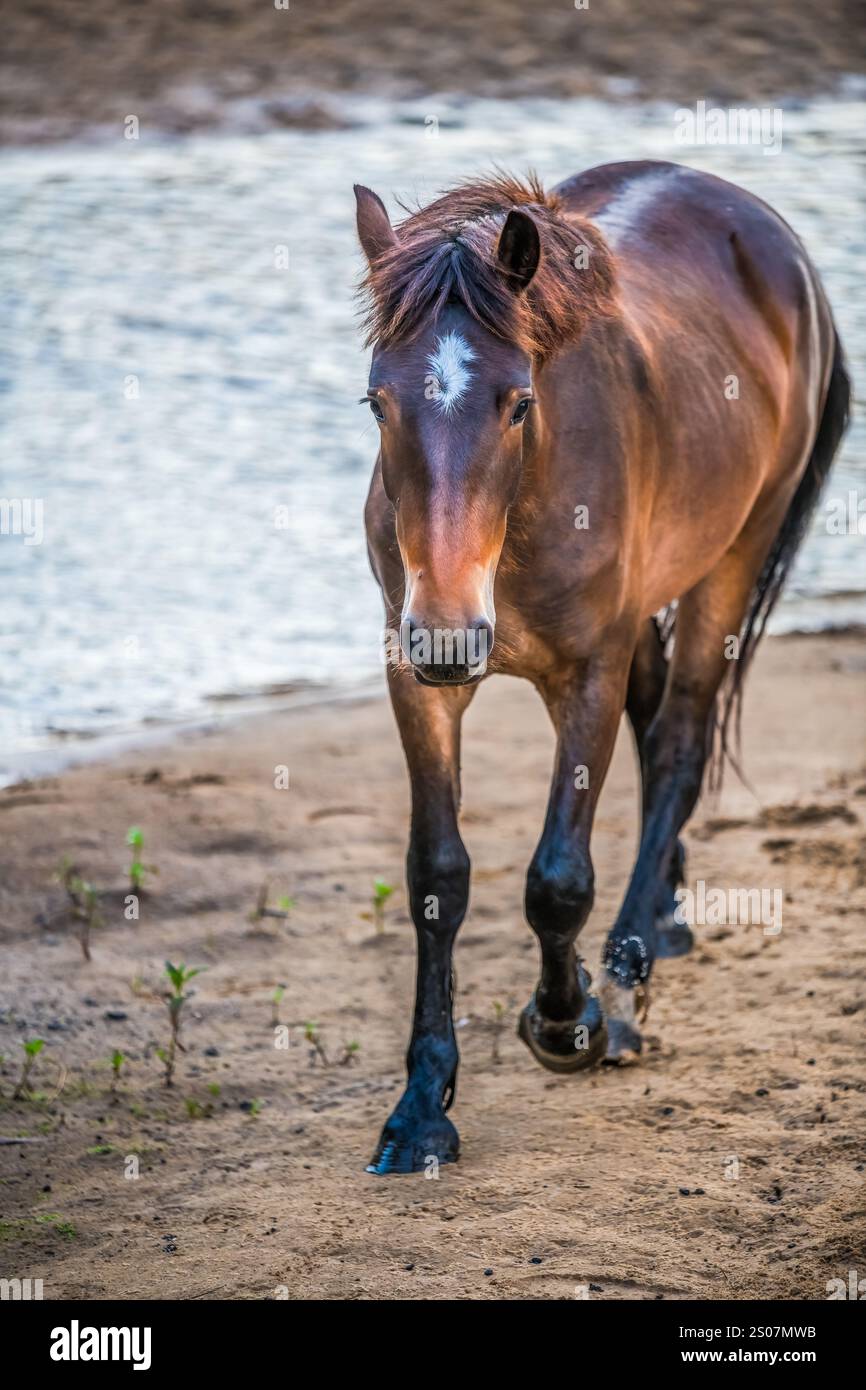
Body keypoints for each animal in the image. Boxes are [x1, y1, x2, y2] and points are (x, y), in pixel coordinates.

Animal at [354, 160, 850, 1175]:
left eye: (518, 402)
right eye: (377, 401)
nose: (452, 632)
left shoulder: (587, 670)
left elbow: (557, 878)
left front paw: (568, 1020)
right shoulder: (413, 672)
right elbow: (436, 876)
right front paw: (421, 1112)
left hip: (730, 562)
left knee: (682, 742)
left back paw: (625, 972)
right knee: (659, 726)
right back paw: (663, 917)